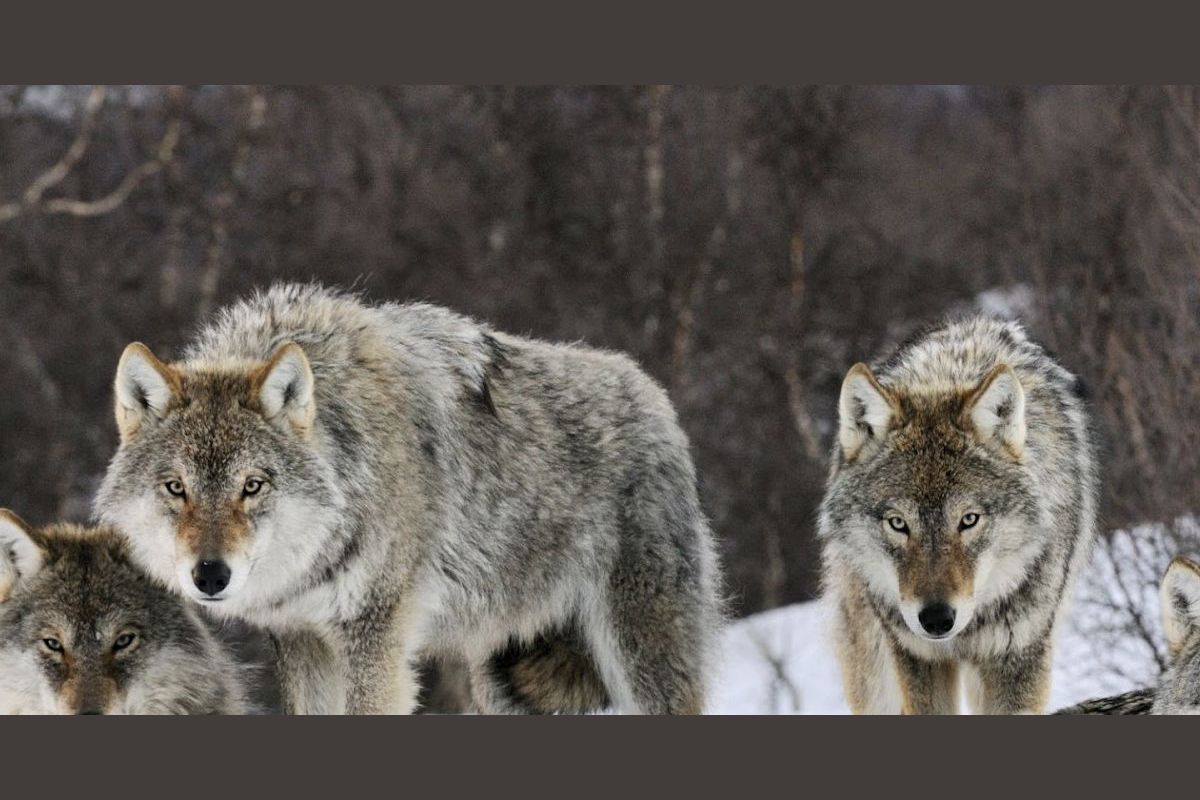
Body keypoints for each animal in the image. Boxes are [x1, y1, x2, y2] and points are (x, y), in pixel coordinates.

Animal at [95, 284, 721, 714]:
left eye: (252, 485)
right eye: (176, 487)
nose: (210, 576)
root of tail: (655, 397)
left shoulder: (376, 640)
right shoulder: (302, 640)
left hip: (640, 658)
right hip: (500, 680)